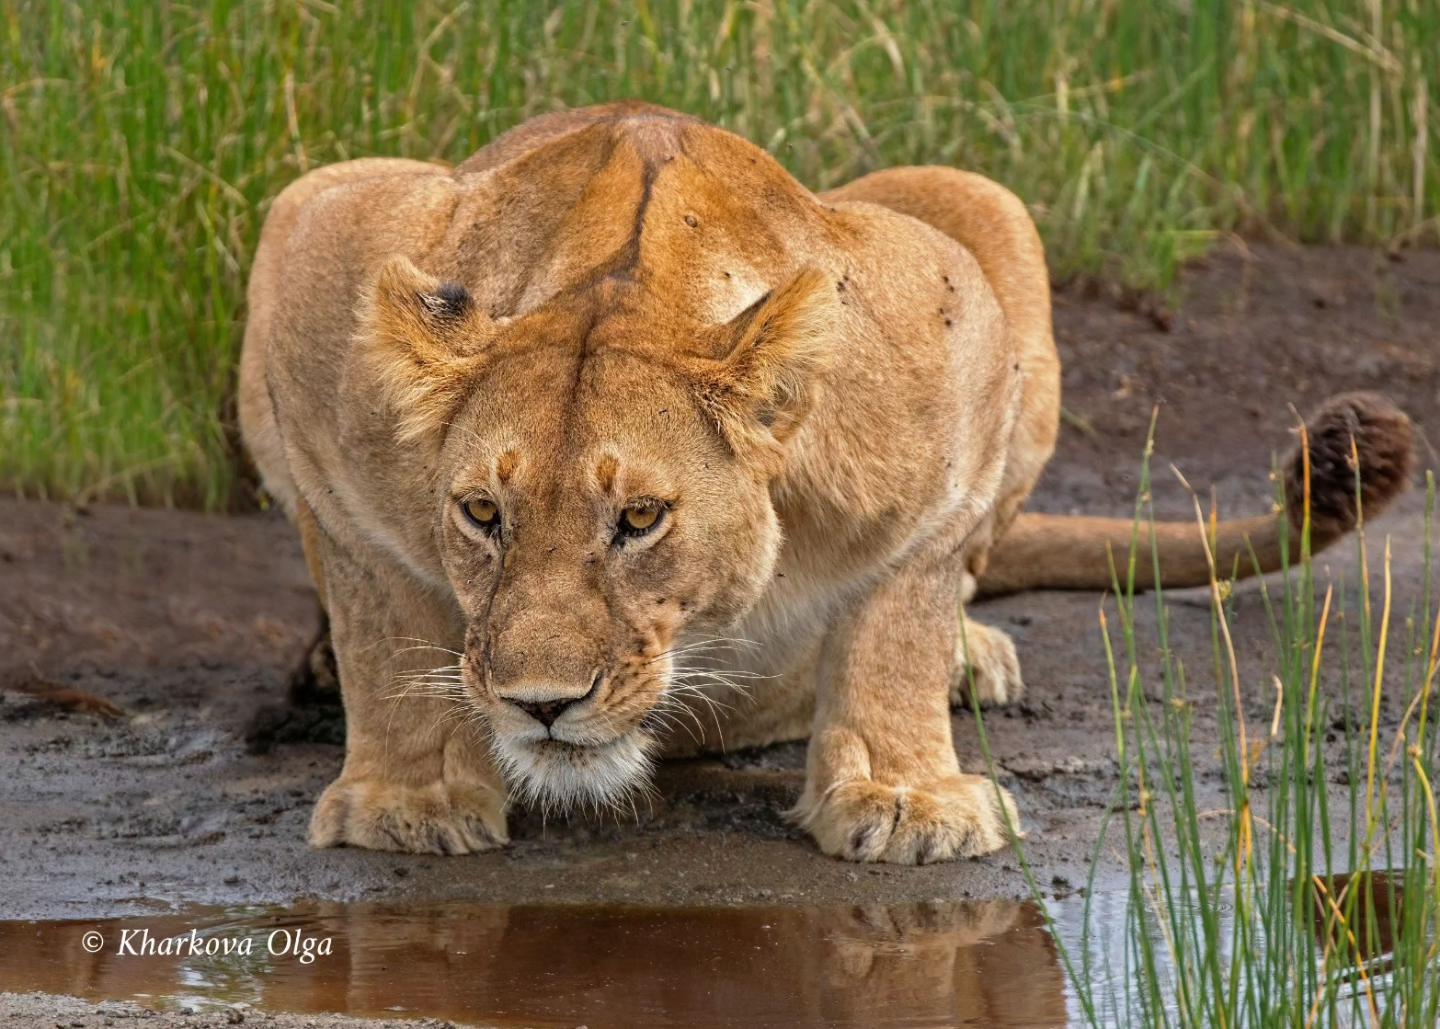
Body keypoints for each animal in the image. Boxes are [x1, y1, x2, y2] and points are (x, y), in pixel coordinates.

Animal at [241, 102, 1411, 863]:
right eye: (483, 513)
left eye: (640, 518)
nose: (540, 704)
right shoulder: (316, 252)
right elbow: (382, 613)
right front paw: (413, 795)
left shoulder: (950, 317)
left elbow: (907, 597)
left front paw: (904, 792)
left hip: (981, 198)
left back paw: (970, 658)